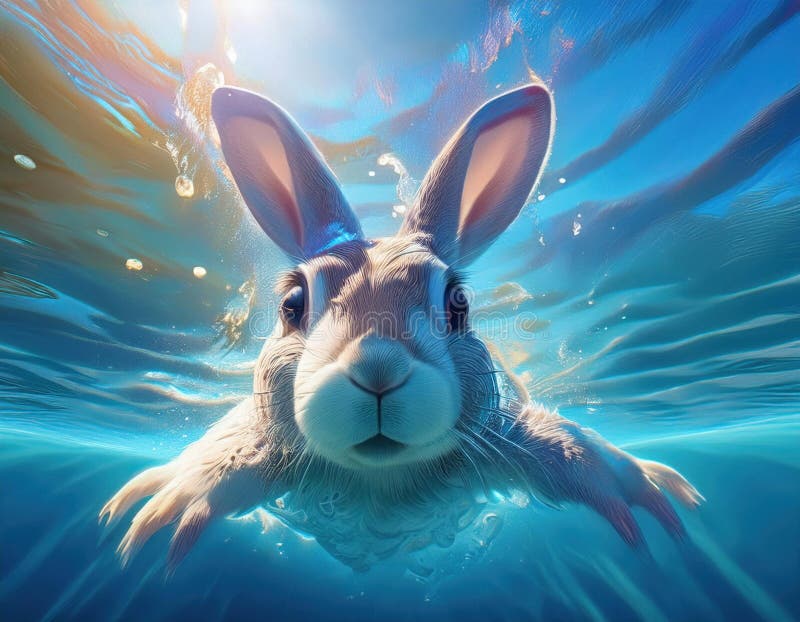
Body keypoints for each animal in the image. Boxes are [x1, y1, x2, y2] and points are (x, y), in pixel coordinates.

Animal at [100, 83, 702, 571]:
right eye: (292, 303)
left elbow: (565, 448)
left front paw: (646, 487)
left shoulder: (503, 438)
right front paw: (162, 502)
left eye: (459, 304)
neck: (380, 480)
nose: (378, 367)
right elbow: (227, 457)